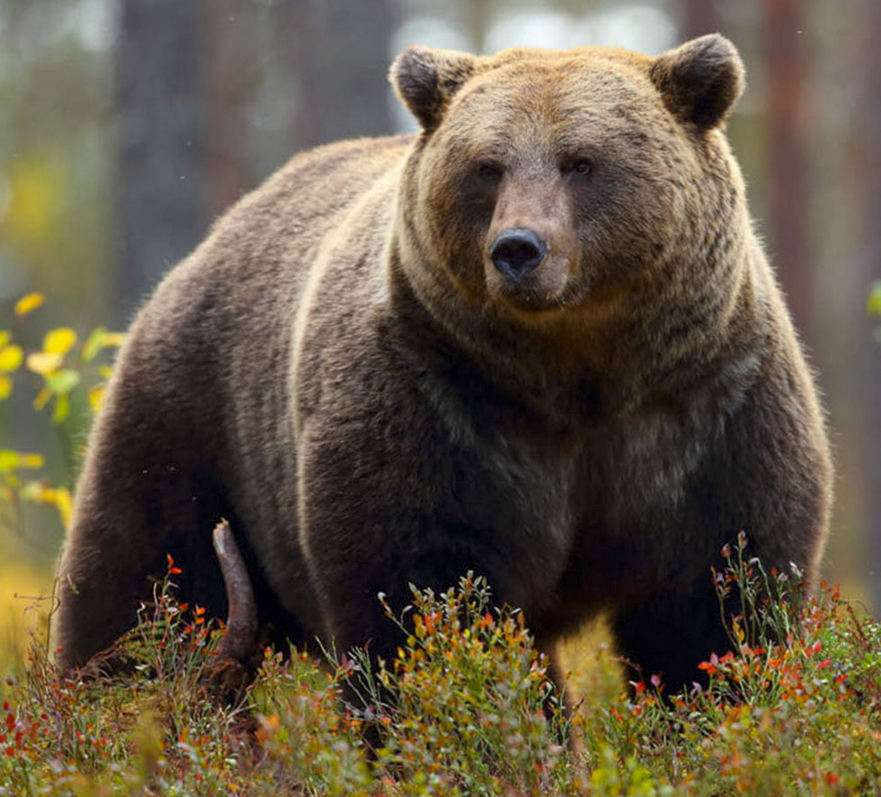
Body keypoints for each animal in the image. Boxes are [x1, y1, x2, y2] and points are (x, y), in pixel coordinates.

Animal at [54, 34, 832, 699]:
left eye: (582, 161)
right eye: (487, 166)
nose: (518, 248)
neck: (582, 375)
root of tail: (212, 240)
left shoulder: (707, 407)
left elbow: (714, 608)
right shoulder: (438, 403)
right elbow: (423, 598)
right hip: (194, 418)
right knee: (144, 583)